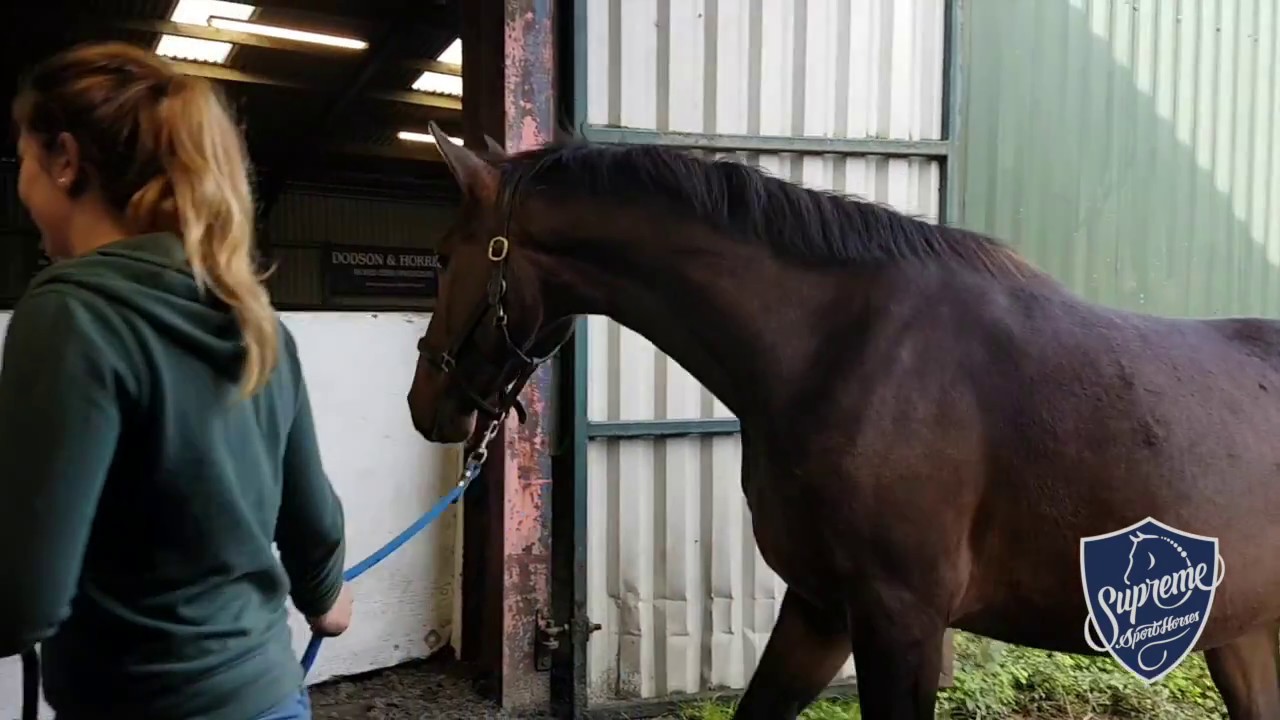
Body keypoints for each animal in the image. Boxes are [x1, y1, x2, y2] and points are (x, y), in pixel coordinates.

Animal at [405, 121, 1280, 720]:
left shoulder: (901, 620)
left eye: (443, 255)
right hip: (1244, 637)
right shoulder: (820, 606)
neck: (839, 350)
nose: (424, 404)